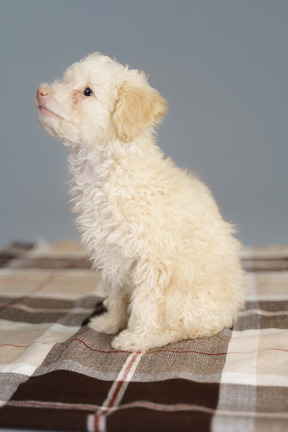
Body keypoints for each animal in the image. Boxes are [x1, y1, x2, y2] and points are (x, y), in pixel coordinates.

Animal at [35, 53, 243, 352]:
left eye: (87, 92)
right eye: (65, 80)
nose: (40, 91)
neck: (110, 170)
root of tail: (232, 309)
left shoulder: (153, 262)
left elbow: (144, 305)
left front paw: (135, 337)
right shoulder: (111, 253)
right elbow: (116, 294)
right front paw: (111, 323)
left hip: (188, 299)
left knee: (186, 328)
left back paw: (156, 336)